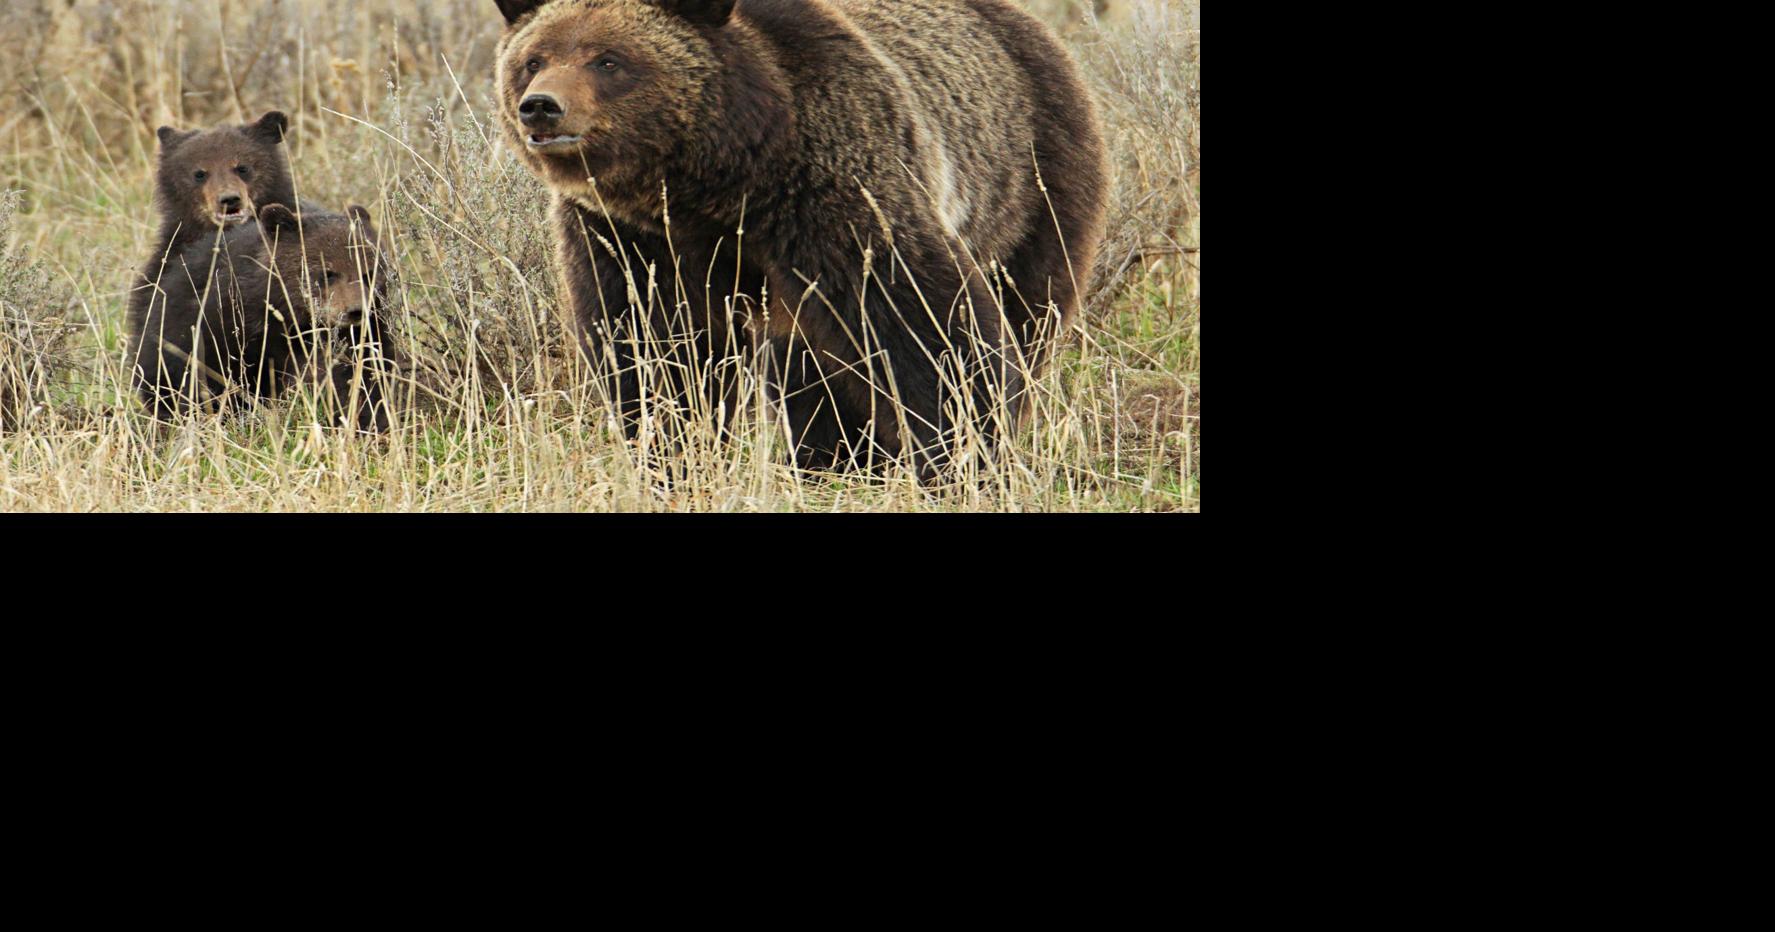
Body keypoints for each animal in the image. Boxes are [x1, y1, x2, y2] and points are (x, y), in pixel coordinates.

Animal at [492, 0, 1108, 474]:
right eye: (533, 59)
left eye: (609, 60)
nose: (541, 107)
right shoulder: (628, 237)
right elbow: (654, 348)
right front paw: (671, 452)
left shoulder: (831, 191)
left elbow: (925, 322)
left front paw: (963, 454)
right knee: (811, 373)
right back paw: (832, 458)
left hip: (1030, 183)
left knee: (1029, 307)